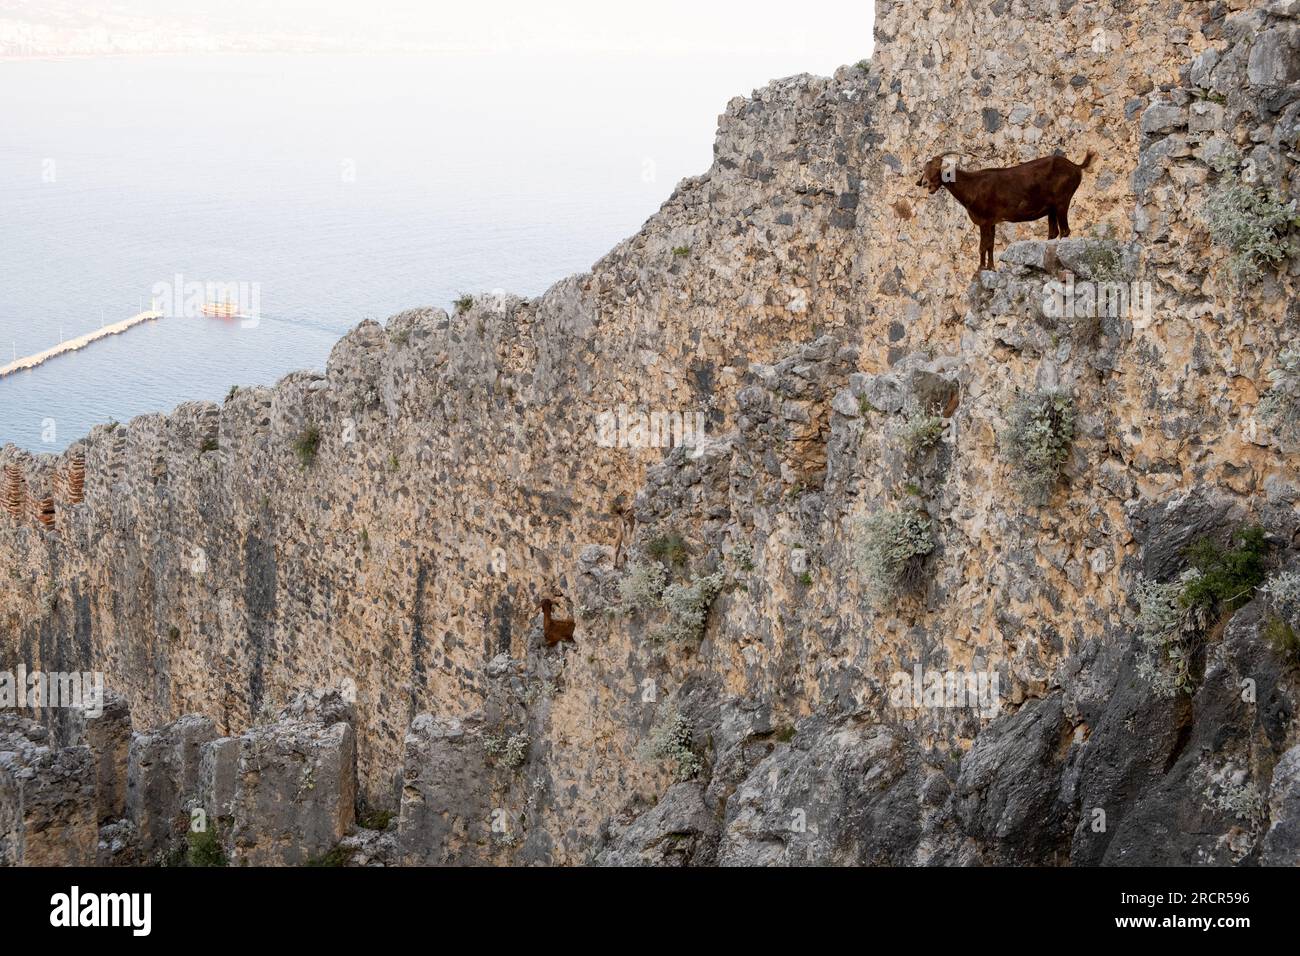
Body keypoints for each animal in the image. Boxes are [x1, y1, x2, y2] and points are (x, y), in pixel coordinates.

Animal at [916, 150, 1096, 272]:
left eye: (937, 169)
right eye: (924, 170)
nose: (925, 183)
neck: (972, 186)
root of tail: (1076, 167)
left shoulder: (984, 219)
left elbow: (983, 245)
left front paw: (980, 269)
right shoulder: (992, 221)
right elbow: (990, 245)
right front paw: (991, 267)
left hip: (1062, 201)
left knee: (1065, 230)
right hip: (1052, 207)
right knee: (1053, 232)